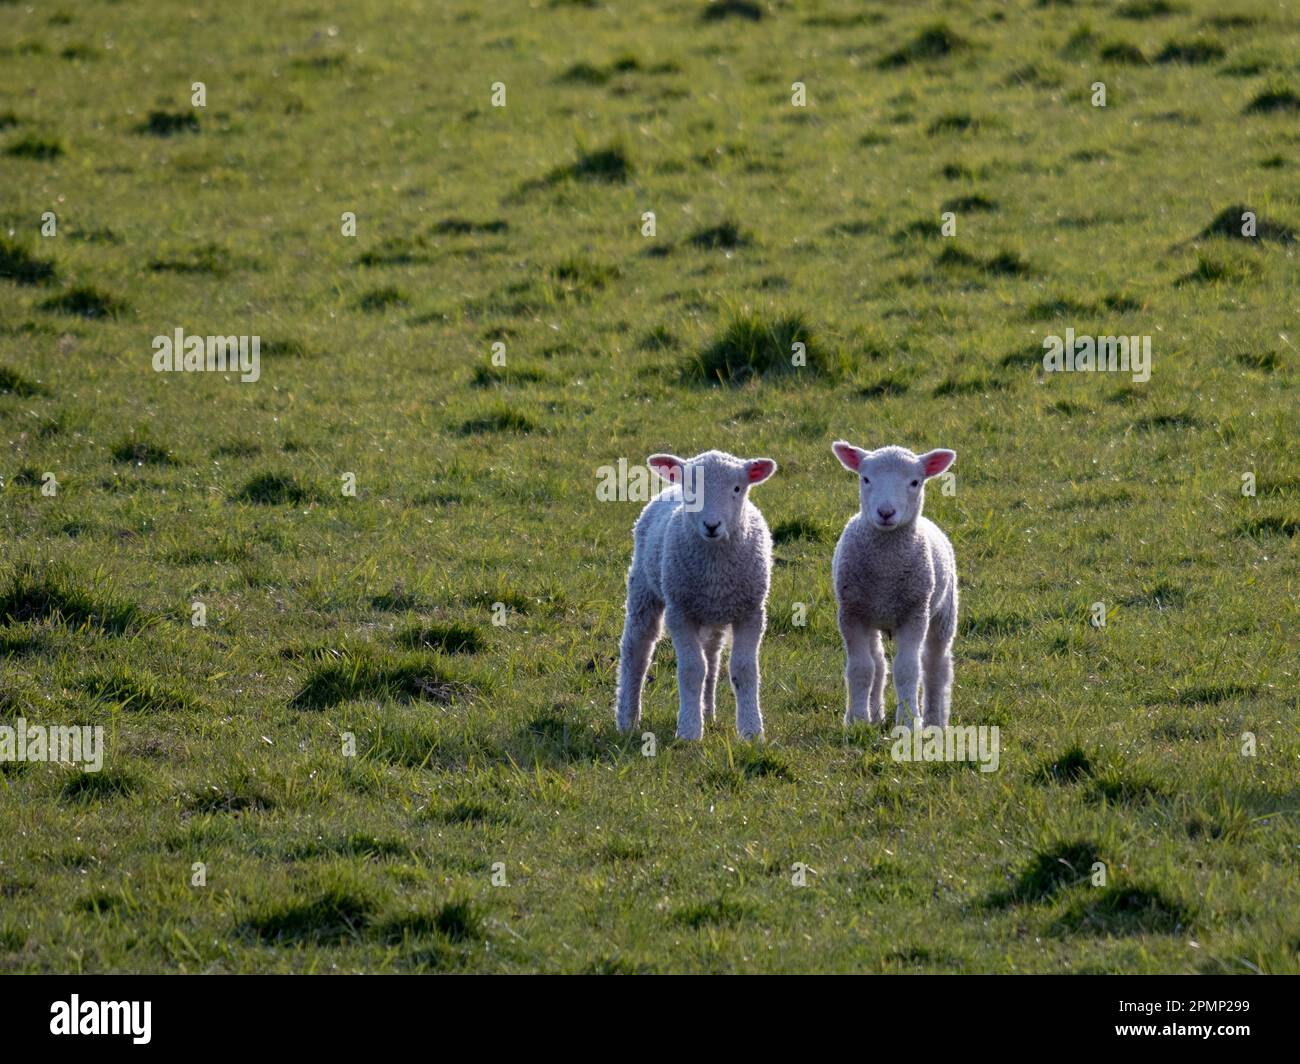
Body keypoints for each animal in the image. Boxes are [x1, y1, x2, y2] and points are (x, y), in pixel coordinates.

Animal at [615, 450, 778, 741]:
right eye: (692, 488)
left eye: (737, 488)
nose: (711, 525)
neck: (715, 570)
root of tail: (669, 488)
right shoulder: (679, 613)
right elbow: (692, 670)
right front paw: (689, 730)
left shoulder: (751, 612)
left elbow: (744, 670)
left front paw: (751, 732)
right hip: (644, 588)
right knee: (637, 648)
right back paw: (627, 719)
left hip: (712, 613)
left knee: (712, 657)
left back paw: (708, 712)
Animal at [830, 442, 958, 729]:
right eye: (865, 479)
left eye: (915, 482)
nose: (886, 513)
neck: (886, 571)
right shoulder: (852, 614)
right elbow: (861, 668)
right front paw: (857, 721)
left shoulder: (914, 613)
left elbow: (908, 669)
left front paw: (909, 721)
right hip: (872, 616)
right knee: (878, 663)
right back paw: (875, 714)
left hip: (943, 613)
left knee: (935, 665)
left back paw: (934, 720)